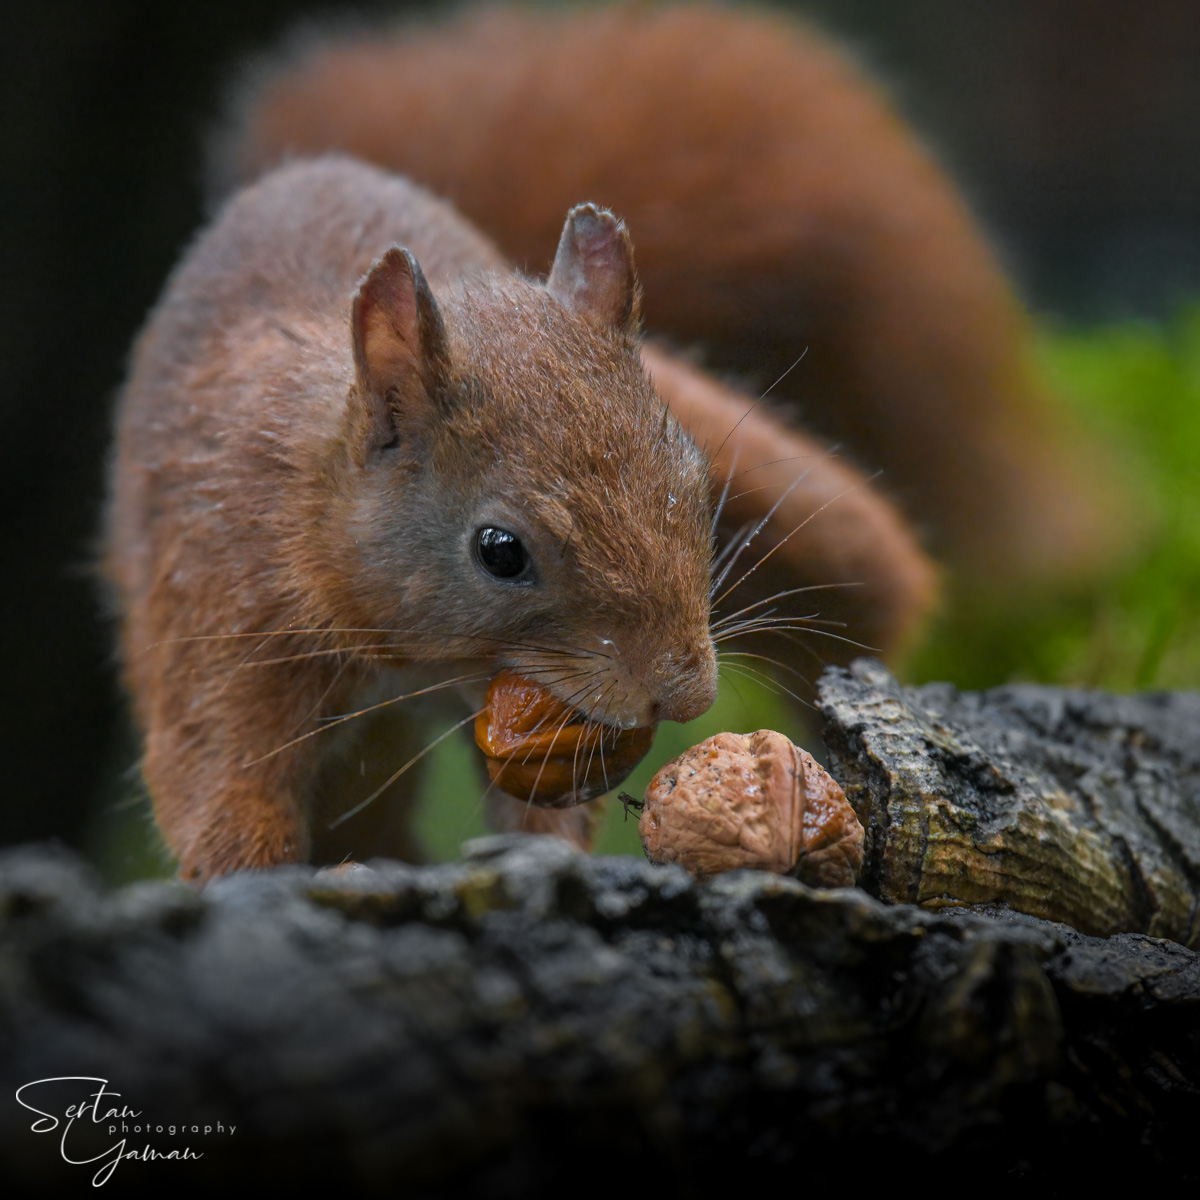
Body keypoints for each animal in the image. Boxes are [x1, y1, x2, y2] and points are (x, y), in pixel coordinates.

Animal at [106, 2, 1118, 881]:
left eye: (696, 483)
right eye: (499, 551)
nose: (683, 695)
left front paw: (541, 856)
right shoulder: (223, 603)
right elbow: (219, 781)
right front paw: (263, 879)